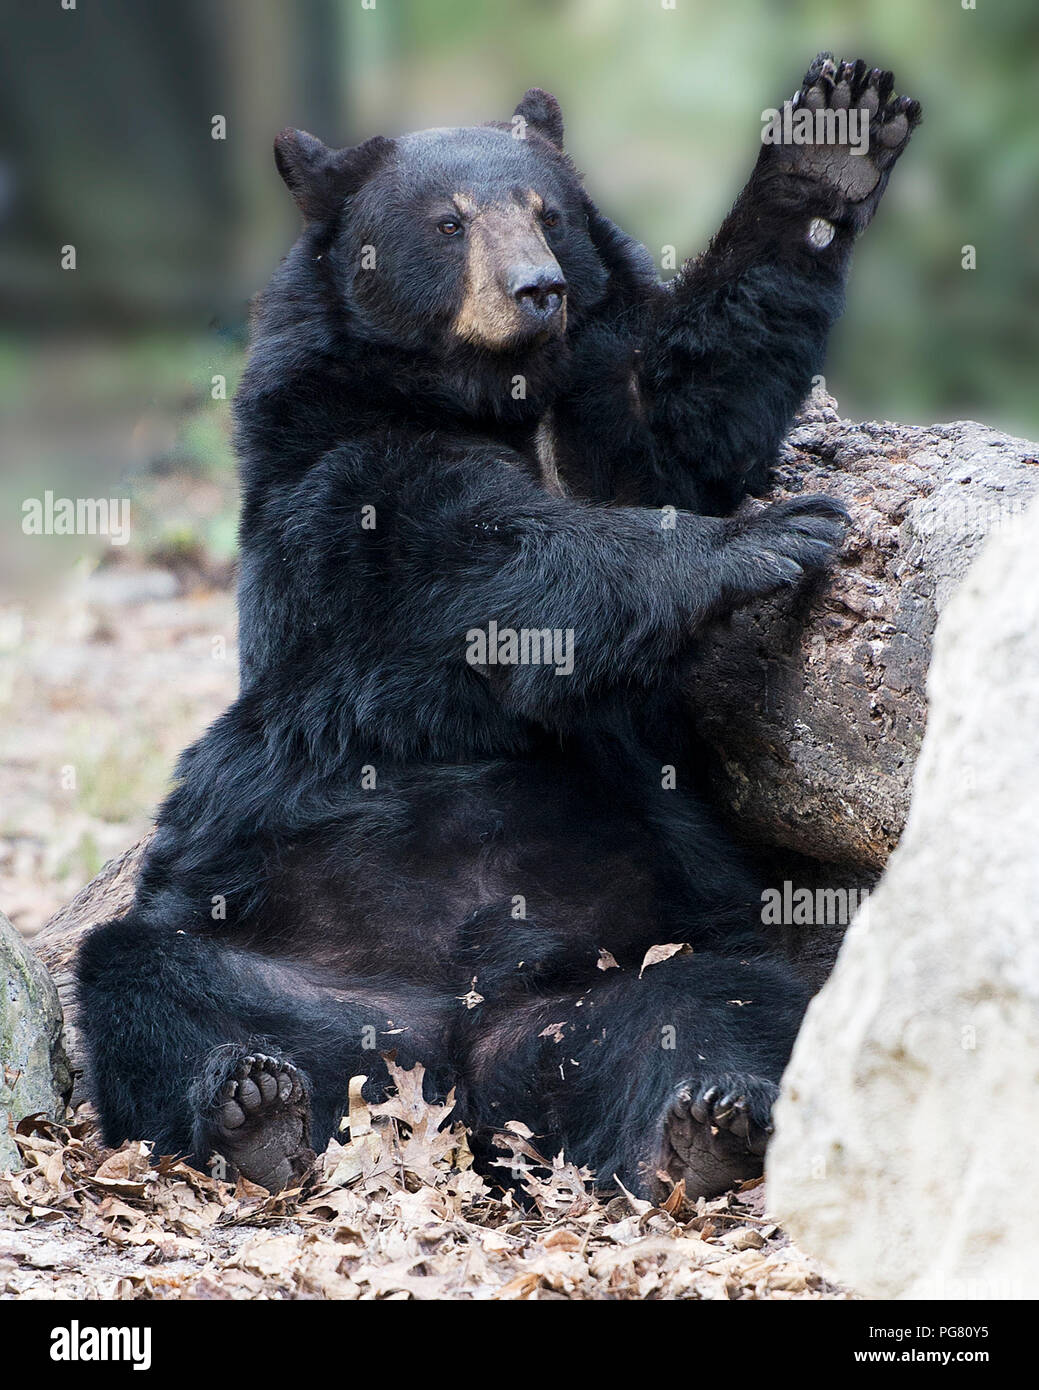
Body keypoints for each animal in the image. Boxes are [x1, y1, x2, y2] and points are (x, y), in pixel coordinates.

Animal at [76, 55, 920, 1198]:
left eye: (546, 211)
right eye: (447, 222)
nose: (537, 290)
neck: (492, 392)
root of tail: (455, 1061)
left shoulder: (604, 395)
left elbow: (694, 410)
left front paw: (833, 141)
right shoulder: (338, 473)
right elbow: (502, 576)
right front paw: (770, 535)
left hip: (636, 959)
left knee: (722, 1005)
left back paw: (703, 1126)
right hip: (261, 929)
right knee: (147, 986)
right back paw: (253, 1107)